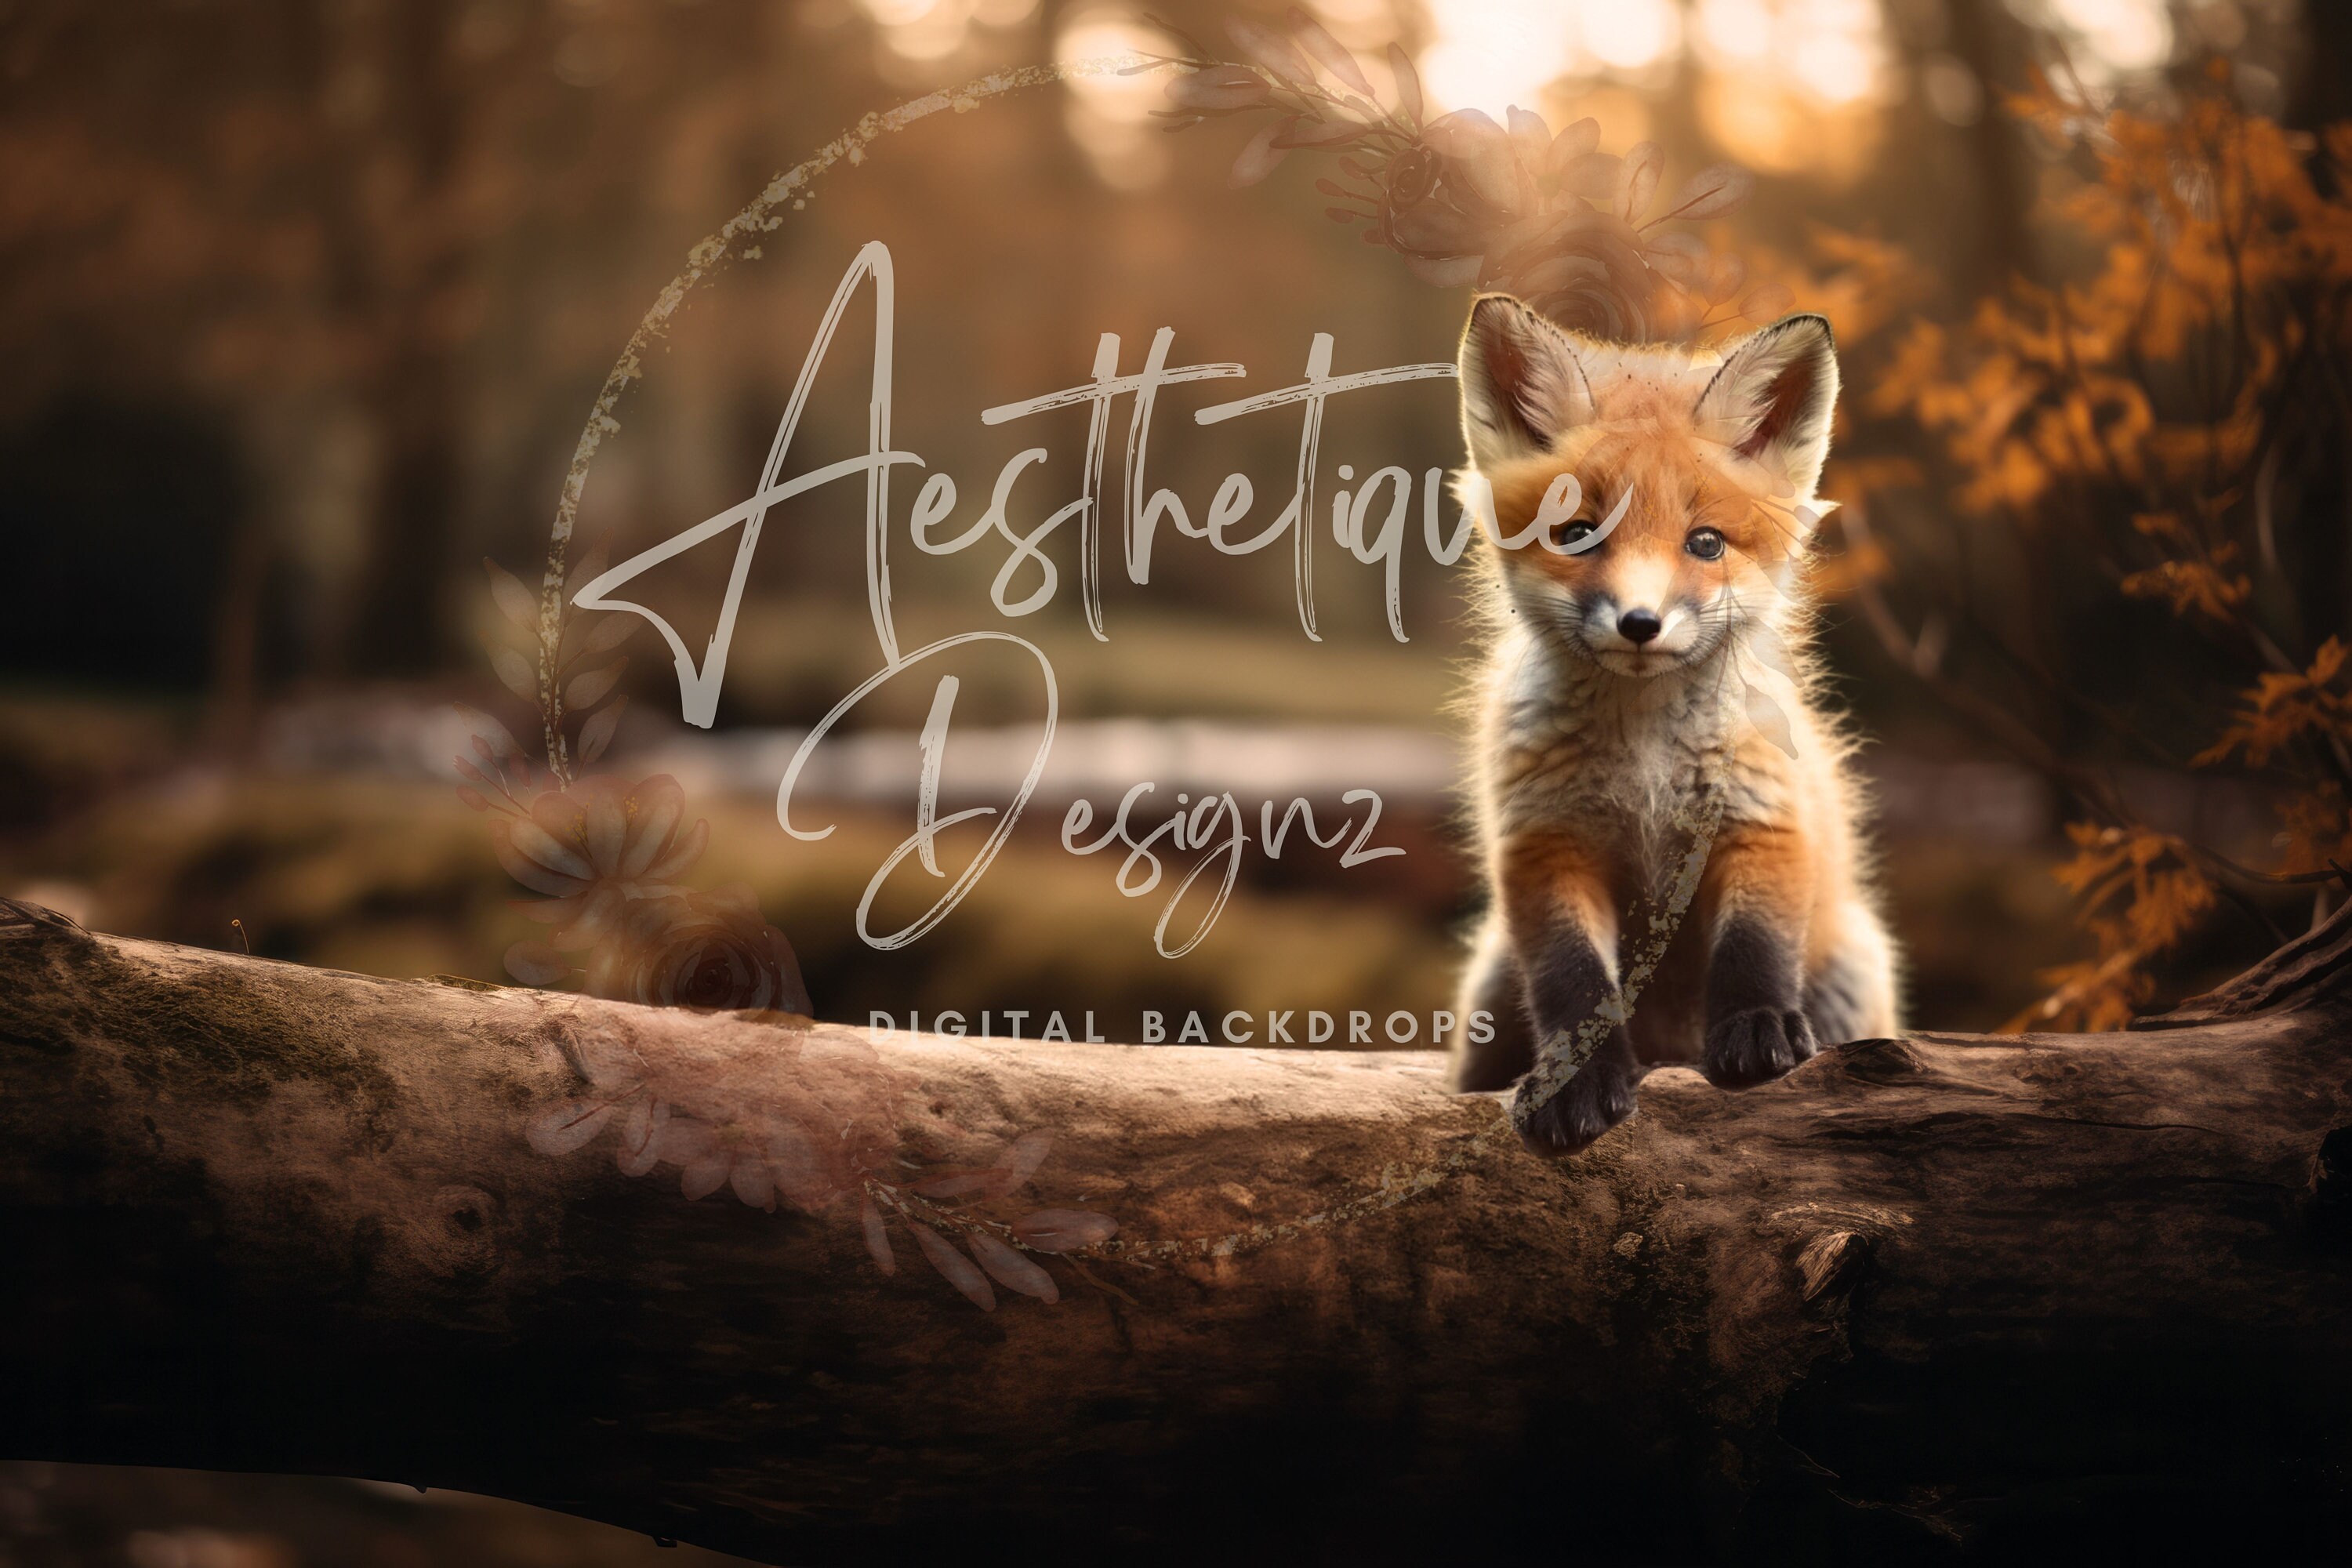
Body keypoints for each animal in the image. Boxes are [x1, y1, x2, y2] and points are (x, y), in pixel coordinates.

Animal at [1446, 293, 1900, 1157]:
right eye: (1577, 533)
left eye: (1706, 543)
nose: (1640, 623)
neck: (1646, 762)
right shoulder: (1545, 841)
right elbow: (1574, 981)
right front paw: (1576, 1082)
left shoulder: (1763, 818)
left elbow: (1753, 949)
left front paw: (1758, 1028)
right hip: (1489, 987)